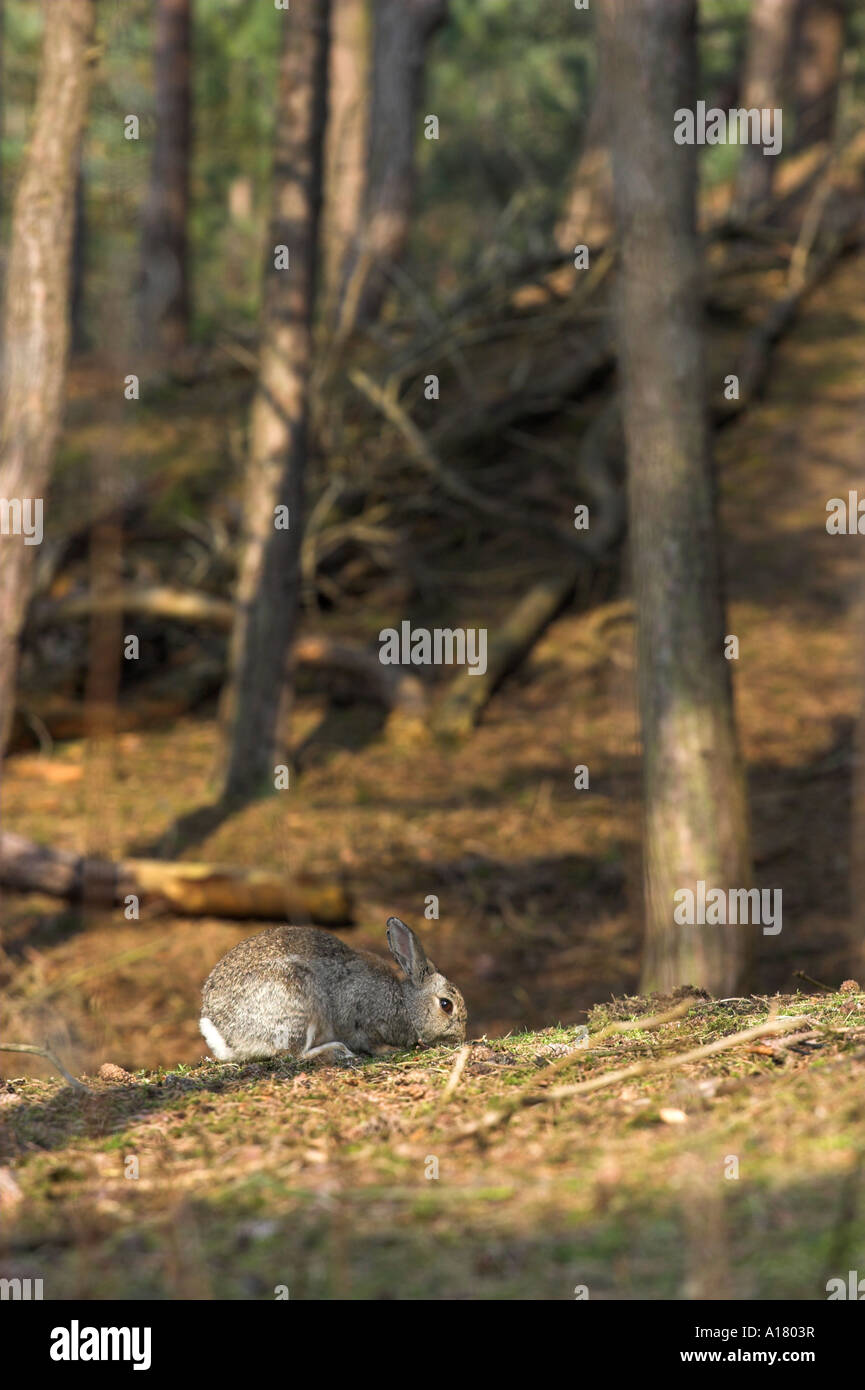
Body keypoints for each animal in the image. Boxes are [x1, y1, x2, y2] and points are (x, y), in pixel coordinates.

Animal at [200, 916, 467, 1062]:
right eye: (446, 1005)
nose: (460, 1038)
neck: (405, 1003)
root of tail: (222, 1032)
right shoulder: (360, 1014)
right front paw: (387, 1051)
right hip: (297, 1002)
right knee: (294, 1053)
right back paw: (337, 1050)